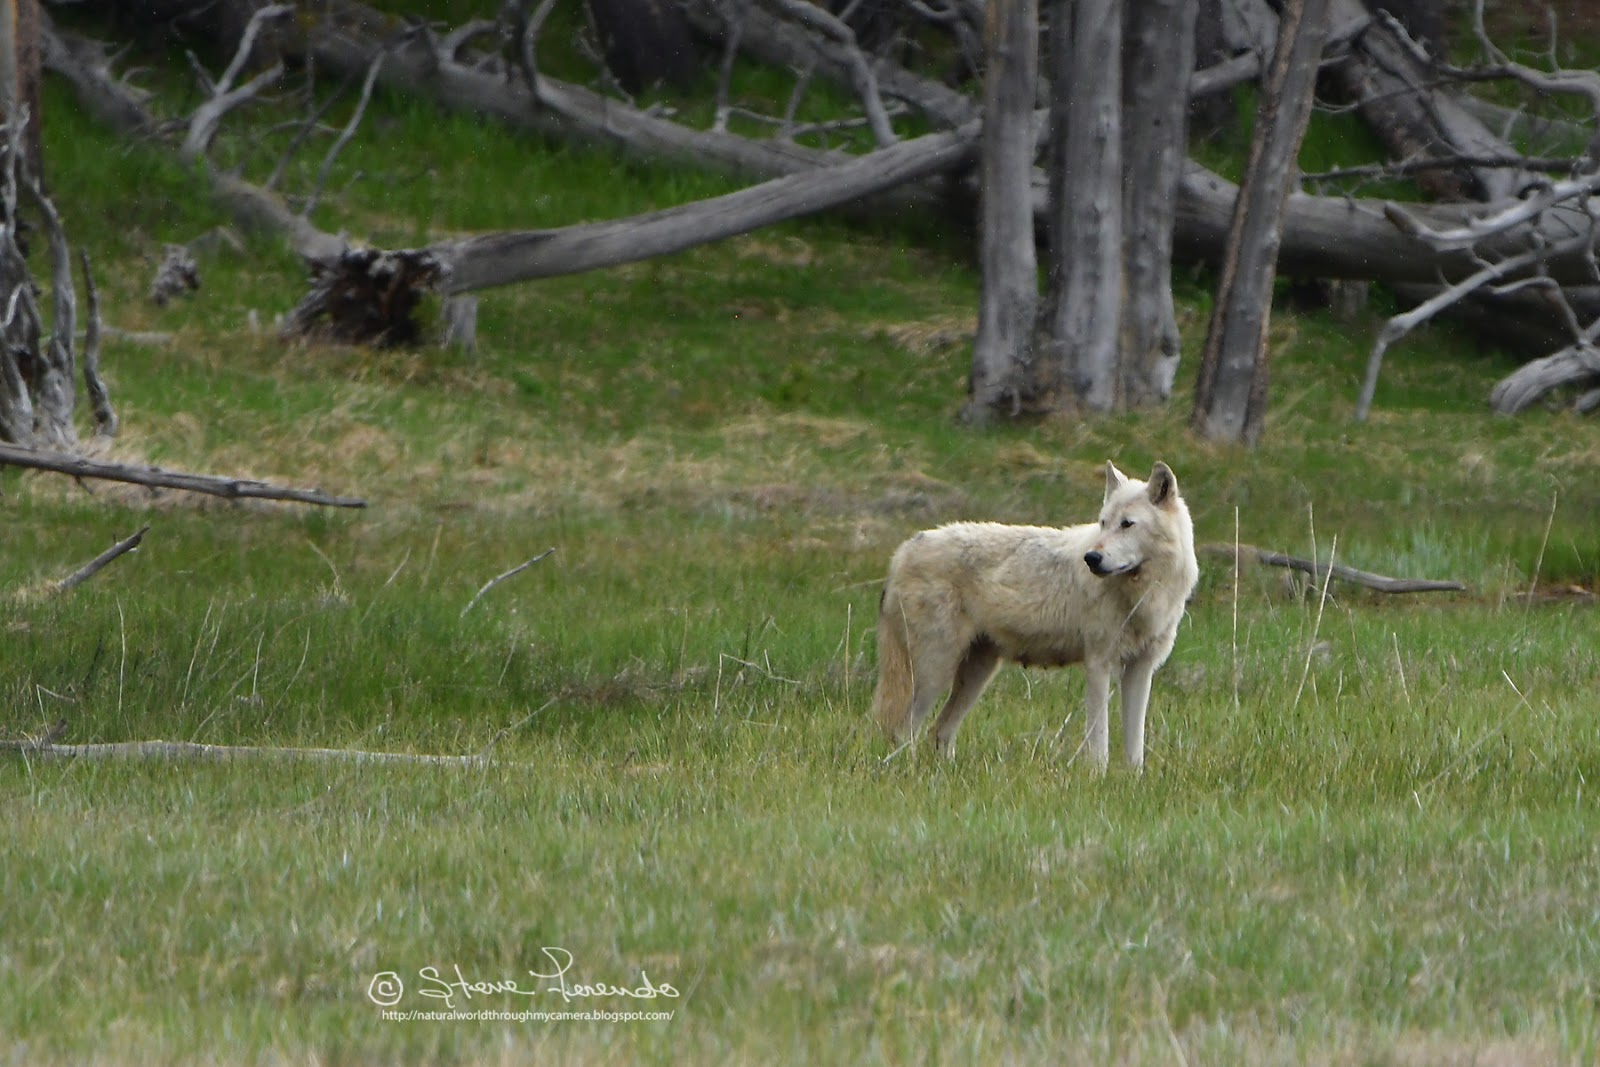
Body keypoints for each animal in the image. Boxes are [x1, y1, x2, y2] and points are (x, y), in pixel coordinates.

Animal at [872, 461, 1198, 770]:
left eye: (1127, 524)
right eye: (1104, 523)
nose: (1091, 558)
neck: (1143, 595)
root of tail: (901, 552)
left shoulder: (1141, 669)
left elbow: (1135, 749)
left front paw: (1132, 781)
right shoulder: (1098, 664)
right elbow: (1099, 743)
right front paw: (1098, 778)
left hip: (976, 674)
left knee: (938, 731)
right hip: (934, 673)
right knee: (902, 730)